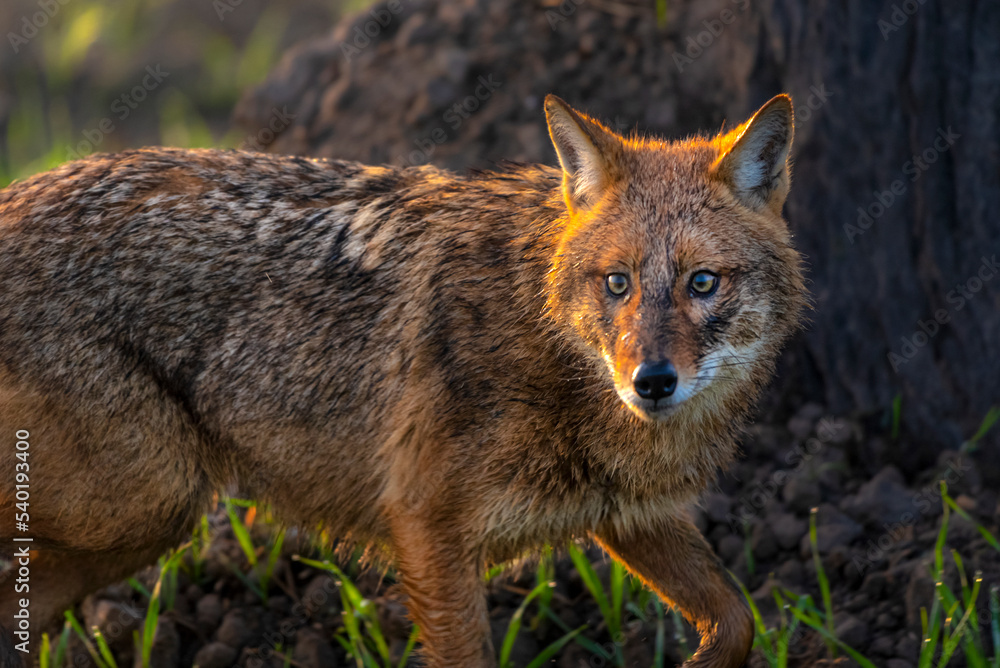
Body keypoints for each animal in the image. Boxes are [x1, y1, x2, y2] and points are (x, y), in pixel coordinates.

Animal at [0, 94, 803, 667]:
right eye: (618, 283)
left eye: (703, 282)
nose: (651, 382)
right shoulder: (427, 528)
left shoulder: (631, 515)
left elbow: (738, 620)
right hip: (147, 503)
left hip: (138, 522)